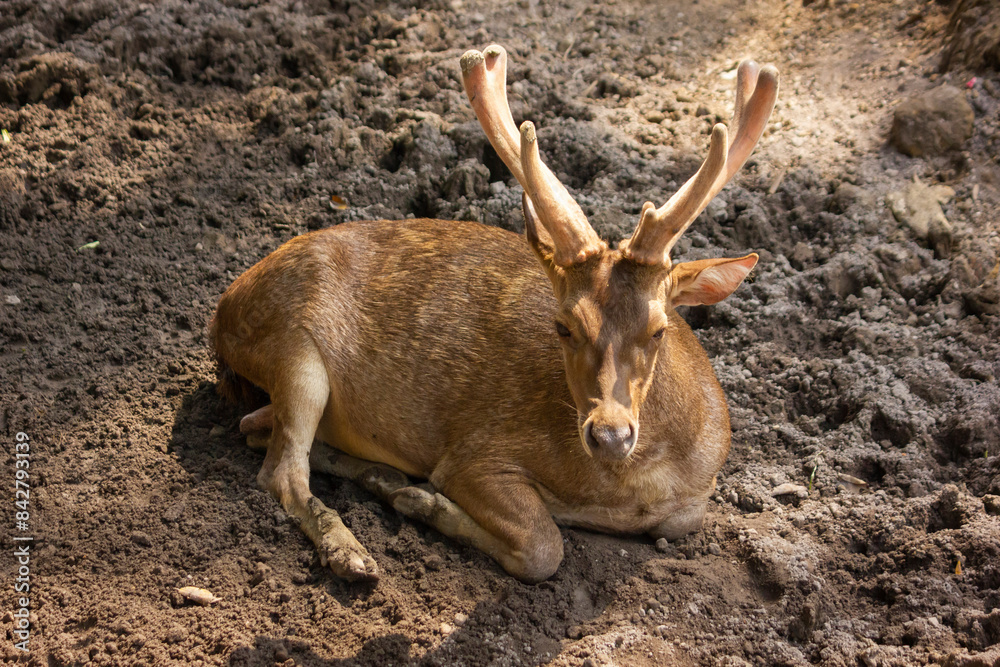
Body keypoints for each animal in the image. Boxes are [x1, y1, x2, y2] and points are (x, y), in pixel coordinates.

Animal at [210, 45, 778, 583]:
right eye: (563, 325)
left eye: (659, 329)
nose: (610, 435)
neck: (631, 487)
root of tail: (223, 309)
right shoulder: (479, 453)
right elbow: (543, 546)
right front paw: (422, 499)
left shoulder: (694, 500)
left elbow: (676, 522)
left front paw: (405, 491)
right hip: (293, 345)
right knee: (279, 469)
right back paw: (351, 552)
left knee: (258, 427)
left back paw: (378, 479)